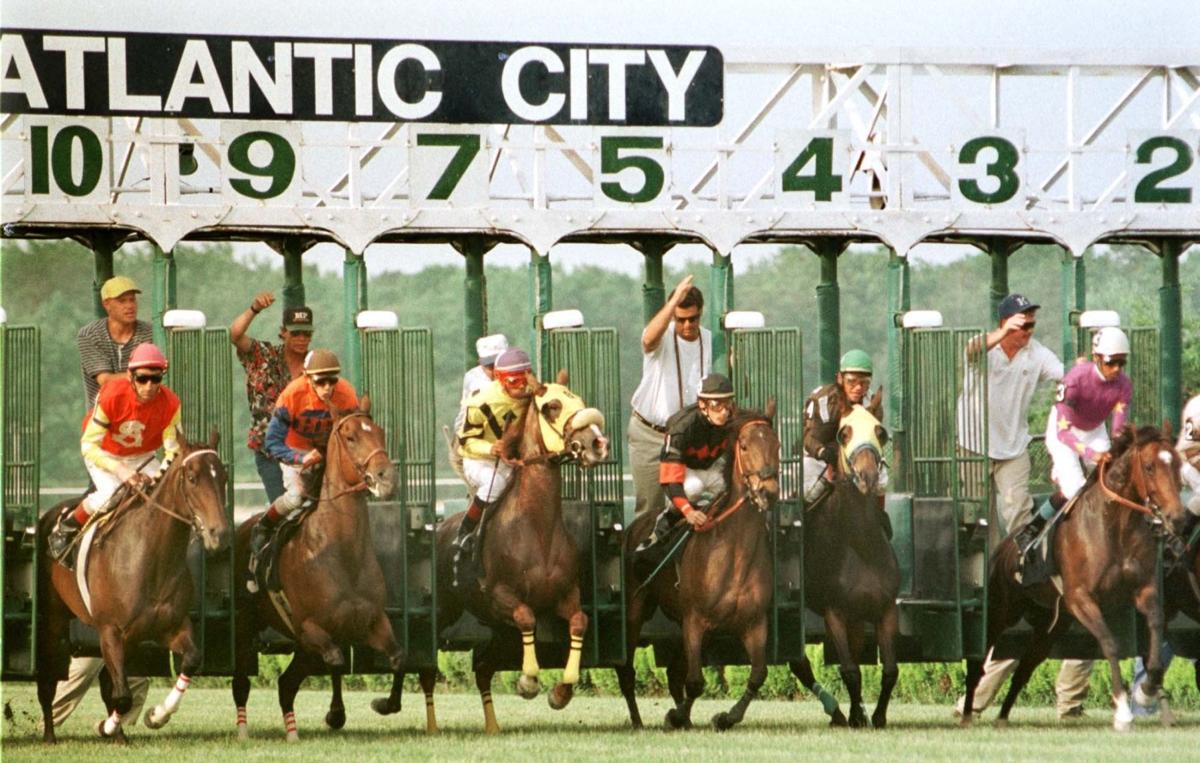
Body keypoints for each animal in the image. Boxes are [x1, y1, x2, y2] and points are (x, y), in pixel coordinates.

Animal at [35, 431, 226, 743]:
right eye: (192, 477)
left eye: (223, 476)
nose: (218, 533)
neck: (150, 559)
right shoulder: (110, 631)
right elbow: (122, 696)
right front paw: (106, 726)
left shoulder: (170, 626)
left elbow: (191, 660)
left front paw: (157, 715)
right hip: (54, 619)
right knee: (49, 680)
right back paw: (51, 735)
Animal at [231, 398, 400, 739]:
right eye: (350, 437)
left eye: (379, 432)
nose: (386, 477)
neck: (343, 553)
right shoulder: (311, 628)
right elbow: (336, 662)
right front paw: (335, 714)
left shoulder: (372, 621)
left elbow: (398, 660)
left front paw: (384, 704)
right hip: (245, 621)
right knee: (241, 680)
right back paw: (243, 729)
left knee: (285, 684)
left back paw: (292, 731)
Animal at [614, 407, 782, 729]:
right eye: (745, 446)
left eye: (777, 445)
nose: (768, 492)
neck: (734, 554)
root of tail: (632, 528)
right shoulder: (695, 619)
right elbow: (695, 682)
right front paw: (675, 716)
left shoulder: (755, 622)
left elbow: (758, 674)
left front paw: (725, 717)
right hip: (634, 610)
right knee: (627, 670)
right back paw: (639, 722)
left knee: (672, 673)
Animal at [787, 398, 902, 729]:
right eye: (843, 433)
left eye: (880, 431)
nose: (867, 477)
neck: (860, 545)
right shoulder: (834, 612)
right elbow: (849, 670)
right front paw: (858, 717)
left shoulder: (884, 608)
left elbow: (889, 670)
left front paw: (876, 716)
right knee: (799, 663)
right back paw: (837, 712)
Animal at [960, 427, 1185, 729]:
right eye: (1149, 467)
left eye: (1178, 464)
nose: (1178, 517)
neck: (1114, 525)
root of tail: (1001, 548)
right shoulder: (1081, 598)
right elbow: (1110, 643)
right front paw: (1122, 712)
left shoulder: (1144, 589)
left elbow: (1157, 625)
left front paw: (1148, 688)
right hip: (1000, 612)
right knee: (978, 662)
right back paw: (966, 714)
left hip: (1051, 624)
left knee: (1025, 667)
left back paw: (1003, 717)